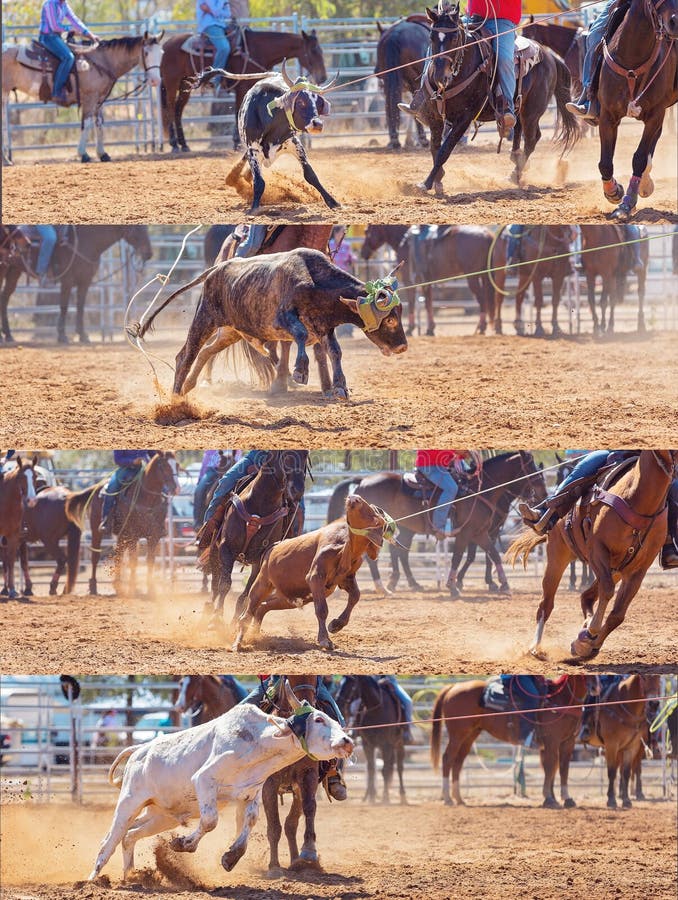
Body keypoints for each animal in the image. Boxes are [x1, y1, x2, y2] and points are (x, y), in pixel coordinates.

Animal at [88, 681, 354, 882]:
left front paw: (230, 857)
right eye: (318, 720)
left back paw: (131, 876)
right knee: (108, 841)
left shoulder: (251, 795)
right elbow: (210, 820)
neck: (259, 741)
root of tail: (138, 751)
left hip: (162, 815)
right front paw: (183, 843)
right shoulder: (205, 780)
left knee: (129, 835)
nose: (347, 741)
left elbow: (250, 822)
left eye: (336, 721)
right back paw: (94, 880)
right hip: (129, 802)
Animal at [132, 247, 408, 401]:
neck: (316, 282)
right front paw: (300, 371)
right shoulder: (284, 318)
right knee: (185, 356)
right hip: (205, 318)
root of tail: (216, 269)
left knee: (206, 352)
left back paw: (188, 386)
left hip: (231, 332)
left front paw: (340, 387)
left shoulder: (324, 328)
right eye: (391, 319)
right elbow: (299, 334)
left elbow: (335, 352)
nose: (403, 346)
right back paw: (175, 399)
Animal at [184, 62, 338, 212]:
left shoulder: (294, 144)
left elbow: (310, 175)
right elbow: (259, 181)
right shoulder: (253, 148)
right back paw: (235, 178)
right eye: (300, 102)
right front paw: (254, 208)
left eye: (317, 103)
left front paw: (332, 201)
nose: (317, 124)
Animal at [233, 494, 391, 652]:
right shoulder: (315, 577)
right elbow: (322, 609)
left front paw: (336, 624)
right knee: (247, 613)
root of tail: (272, 547)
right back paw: (238, 643)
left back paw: (254, 635)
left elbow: (355, 596)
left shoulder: (346, 579)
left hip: (290, 598)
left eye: (373, 513)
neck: (345, 547)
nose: (354, 497)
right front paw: (325, 640)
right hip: (262, 584)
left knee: (263, 607)